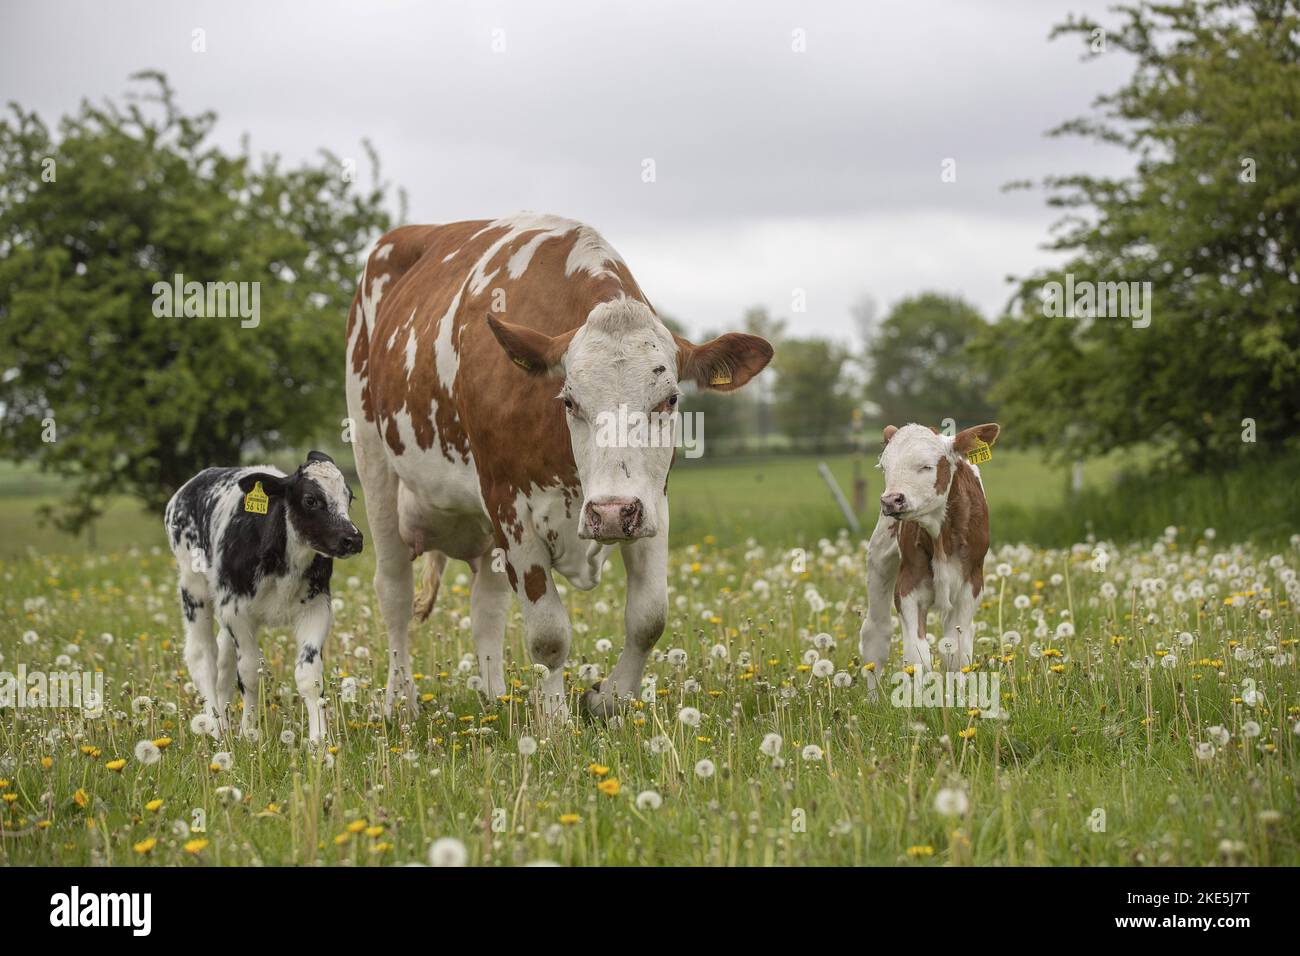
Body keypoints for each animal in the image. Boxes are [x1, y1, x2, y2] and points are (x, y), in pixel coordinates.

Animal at [164, 451, 363, 742]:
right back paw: (216, 727)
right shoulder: (236, 610)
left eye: (349, 496)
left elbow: (309, 675)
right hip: (193, 586)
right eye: (311, 500)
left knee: (224, 660)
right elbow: (249, 673)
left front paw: (319, 741)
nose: (353, 538)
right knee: (203, 655)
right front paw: (249, 733)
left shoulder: (316, 607)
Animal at [344, 212, 773, 721]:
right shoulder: (509, 506)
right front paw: (554, 720)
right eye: (569, 400)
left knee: (486, 605)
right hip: (375, 463)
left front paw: (610, 697)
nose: (611, 513)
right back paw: (401, 700)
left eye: (670, 399)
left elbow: (648, 617)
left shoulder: (653, 504)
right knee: (393, 592)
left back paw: (495, 698)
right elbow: (548, 634)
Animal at [857, 423, 1000, 690]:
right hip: (880, 556)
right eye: (885, 467)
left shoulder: (971, 585)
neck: (940, 535)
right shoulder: (908, 585)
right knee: (875, 633)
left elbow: (957, 654)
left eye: (926, 466)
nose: (891, 500)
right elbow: (917, 656)